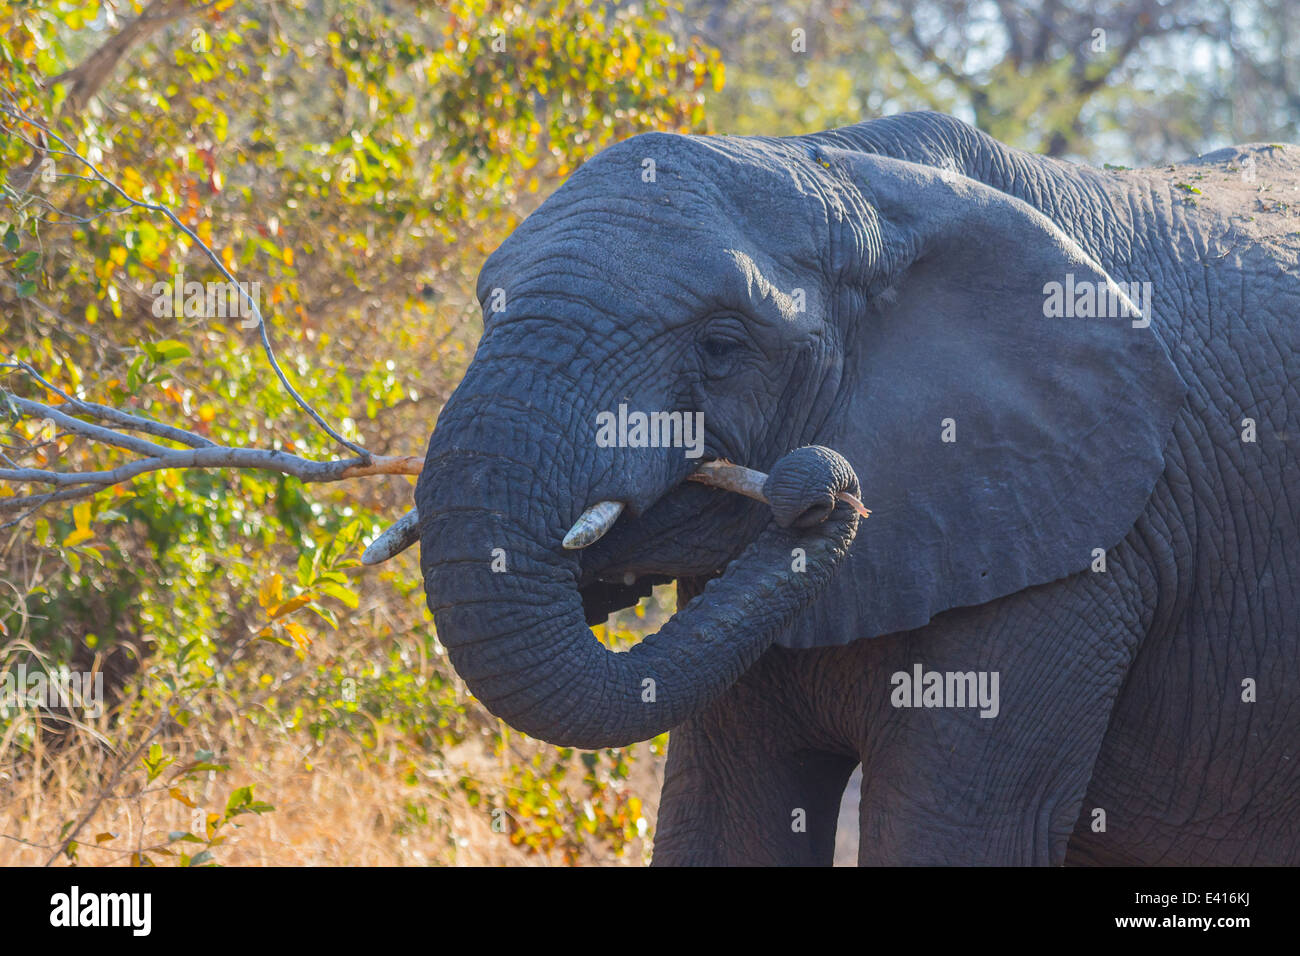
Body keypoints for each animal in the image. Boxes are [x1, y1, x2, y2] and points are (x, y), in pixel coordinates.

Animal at [409, 111, 1300, 865]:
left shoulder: (1089, 551)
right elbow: (724, 825)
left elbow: (956, 833)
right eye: (488, 311)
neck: (847, 172)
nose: (823, 489)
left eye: (722, 347)